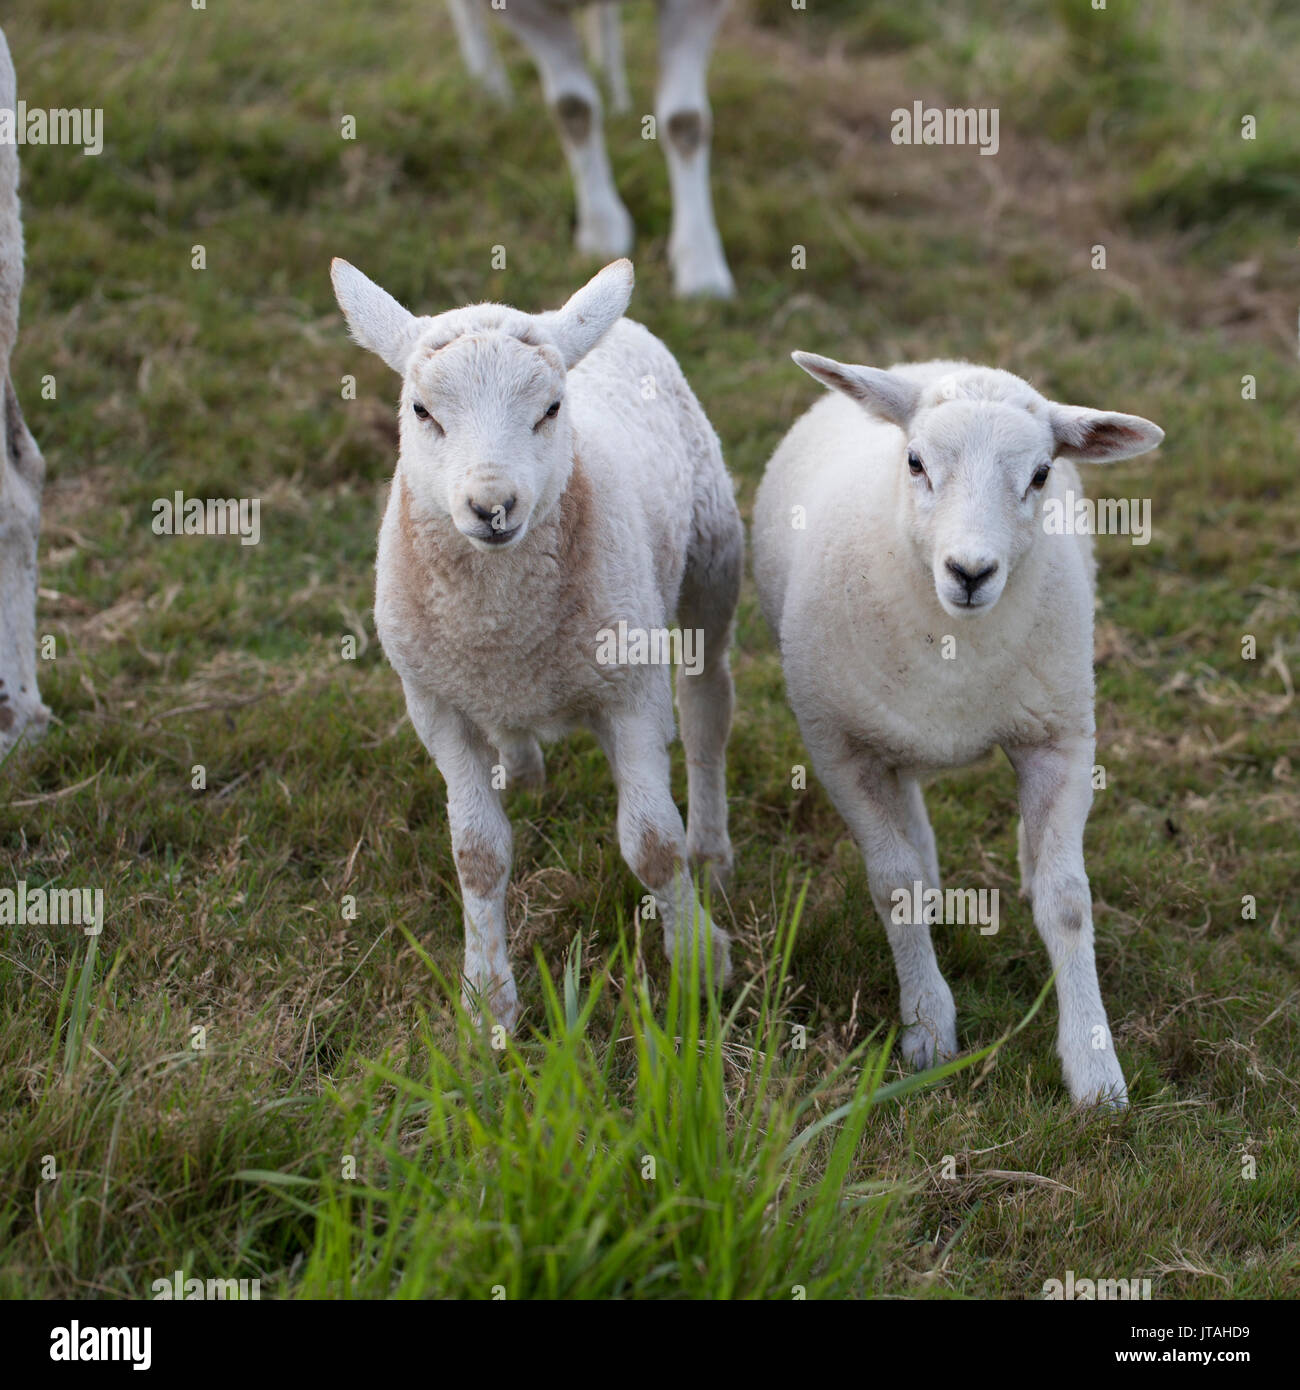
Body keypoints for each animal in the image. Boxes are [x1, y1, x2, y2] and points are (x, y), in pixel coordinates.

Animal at [330, 255, 742, 1029]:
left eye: (550, 409)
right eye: (422, 412)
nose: (492, 507)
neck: (502, 617)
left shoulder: (630, 692)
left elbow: (653, 844)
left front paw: (699, 965)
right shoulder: (435, 705)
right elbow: (477, 853)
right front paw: (487, 1001)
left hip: (711, 554)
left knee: (707, 705)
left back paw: (712, 847)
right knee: (515, 730)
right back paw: (520, 769)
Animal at [444, 0, 734, 300]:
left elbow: (684, 121)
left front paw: (701, 268)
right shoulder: (527, 10)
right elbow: (573, 107)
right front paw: (601, 227)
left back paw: (612, 88)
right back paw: (489, 91)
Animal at [752, 354, 1165, 1106]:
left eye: (1040, 474)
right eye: (915, 461)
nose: (970, 572)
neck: (954, 651)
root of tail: (940, 364)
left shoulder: (1060, 738)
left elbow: (1067, 901)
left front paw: (1094, 1068)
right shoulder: (839, 747)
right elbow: (894, 885)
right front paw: (926, 1026)